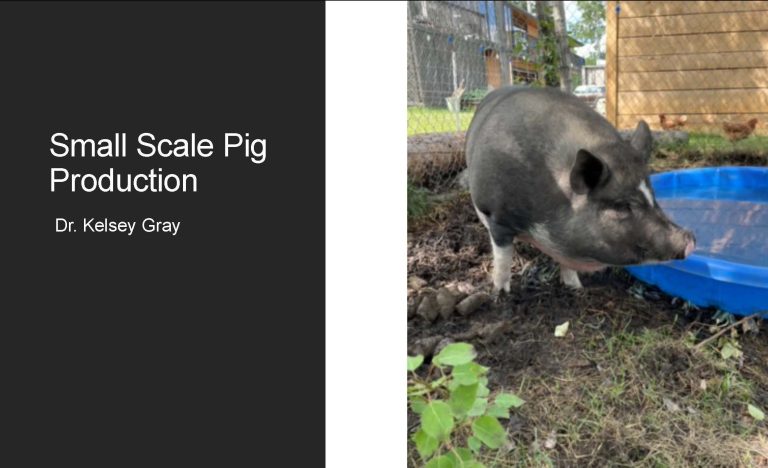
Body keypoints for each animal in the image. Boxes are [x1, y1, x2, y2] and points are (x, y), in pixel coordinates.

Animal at [466, 87, 695, 291]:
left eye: (653, 195)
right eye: (621, 206)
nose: (690, 239)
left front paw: (575, 288)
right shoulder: (498, 216)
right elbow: (503, 259)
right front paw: (500, 293)